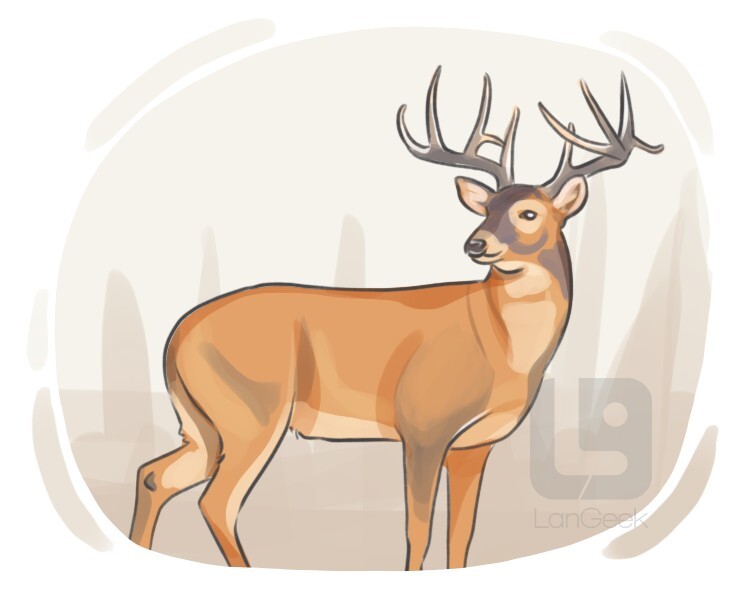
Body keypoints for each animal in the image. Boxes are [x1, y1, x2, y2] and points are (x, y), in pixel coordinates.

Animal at [129, 67, 663, 570]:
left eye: (528, 212)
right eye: (487, 206)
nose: (475, 243)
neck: (498, 343)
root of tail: (175, 337)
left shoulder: (474, 446)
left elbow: (462, 535)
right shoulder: (422, 425)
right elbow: (418, 530)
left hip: (204, 422)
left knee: (154, 475)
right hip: (253, 410)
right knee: (217, 502)